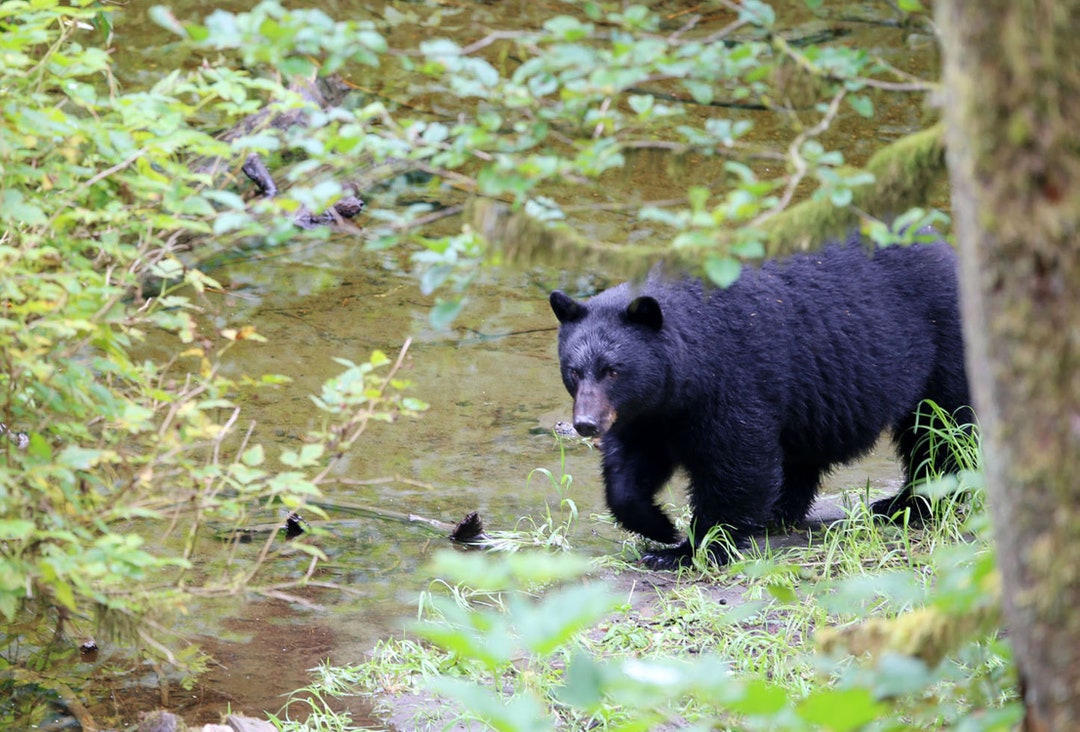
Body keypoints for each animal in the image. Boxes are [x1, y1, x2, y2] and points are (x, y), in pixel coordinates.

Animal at [549, 236, 971, 570]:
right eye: (574, 371)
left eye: (613, 370)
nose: (585, 423)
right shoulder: (649, 411)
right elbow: (629, 468)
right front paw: (659, 525)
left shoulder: (733, 376)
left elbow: (736, 462)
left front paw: (690, 549)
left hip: (944, 344)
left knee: (943, 430)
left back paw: (910, 503)